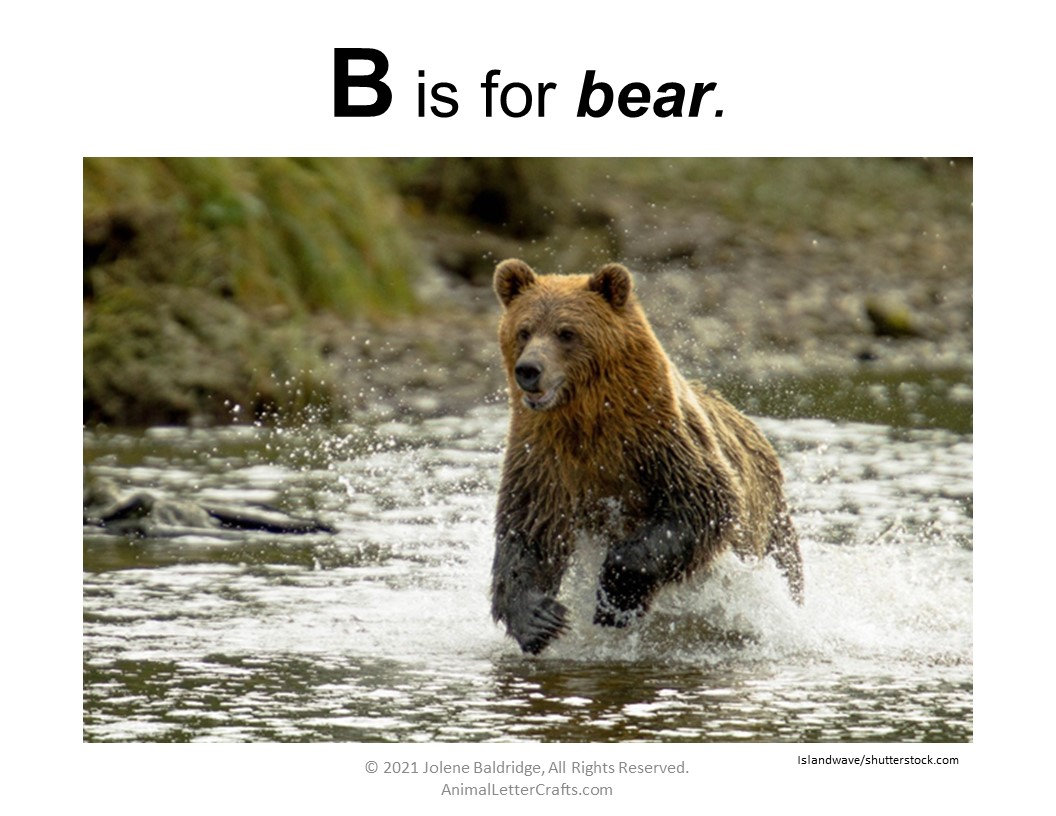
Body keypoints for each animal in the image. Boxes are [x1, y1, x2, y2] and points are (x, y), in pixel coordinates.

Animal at [490, 259, 803, 654]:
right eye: (524, 330)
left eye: (566, 332)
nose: (529, 370)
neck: (588, 422)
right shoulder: (543, 459)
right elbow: (528, 532)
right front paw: (540, 619)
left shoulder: (661, 440)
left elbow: (700, 505)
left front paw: (615, 598)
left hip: (772, 528)